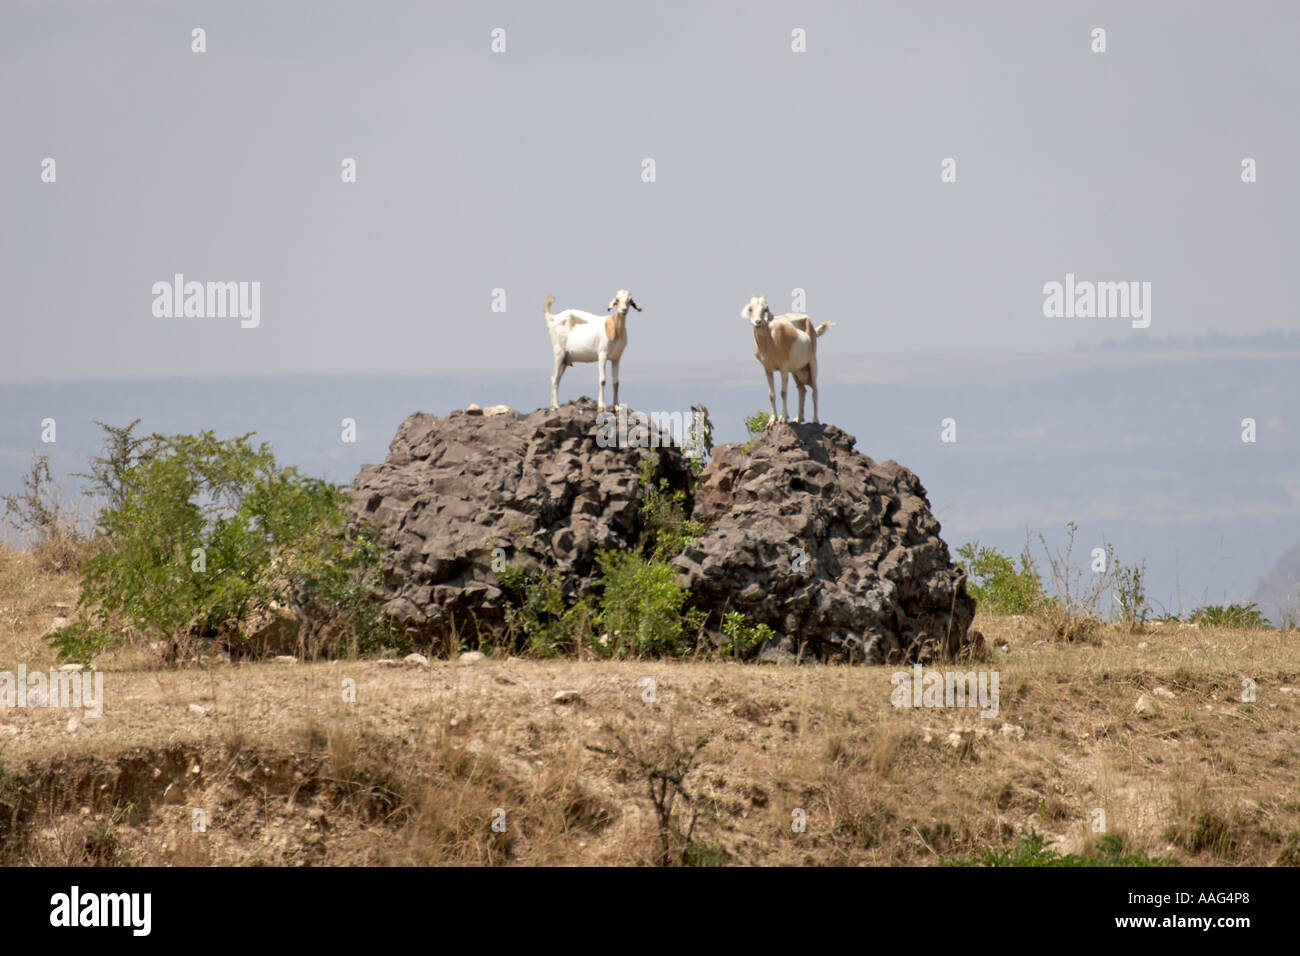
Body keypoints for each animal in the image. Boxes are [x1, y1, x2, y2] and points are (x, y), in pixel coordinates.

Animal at [742, 294, 834, 425]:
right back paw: (798, 418)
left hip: (812, 363)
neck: (771, 340)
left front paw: (783, 418)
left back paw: (815, 420)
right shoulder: (767, 369)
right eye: (750, 309)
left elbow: (783, 392)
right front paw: (772, 420)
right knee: (802, 389)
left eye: (765, 309)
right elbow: (771, 394)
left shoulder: (783, 368)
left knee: (815, 391)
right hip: (796, 370)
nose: (758, 322)